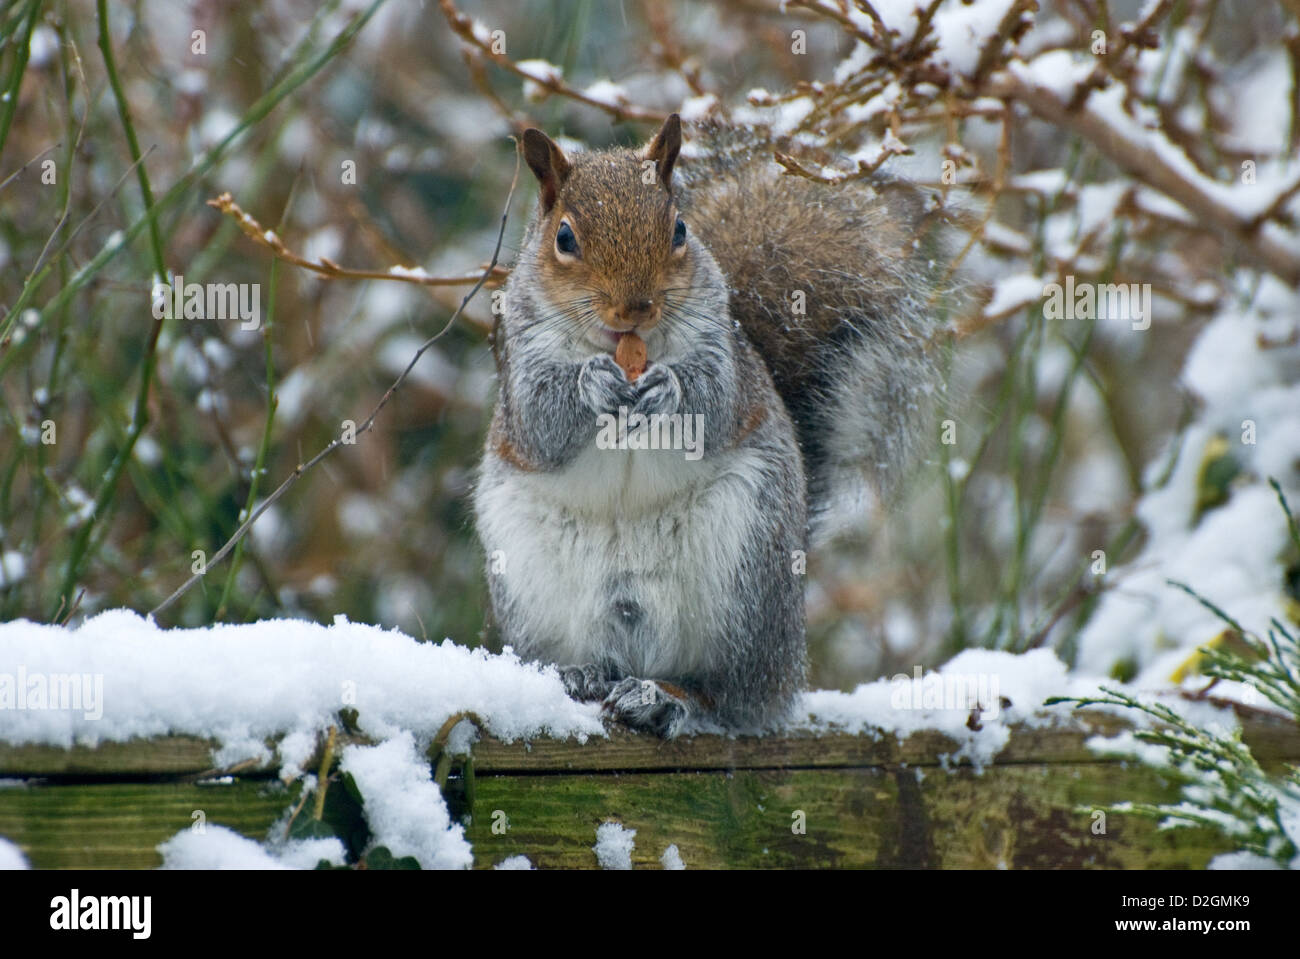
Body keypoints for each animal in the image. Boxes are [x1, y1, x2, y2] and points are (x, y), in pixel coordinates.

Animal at [474, 114, 946, 738]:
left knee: (732, 697)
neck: (627, 349)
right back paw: (581, 674)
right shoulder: (521, 367)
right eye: (565, 239)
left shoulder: (726, 357)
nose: (636, 307)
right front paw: (591, 385)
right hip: (532, 585)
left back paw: (666, 697)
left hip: (747, 578)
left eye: (679, 229)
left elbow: (715, 404)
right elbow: (540, 422)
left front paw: (670, 391)